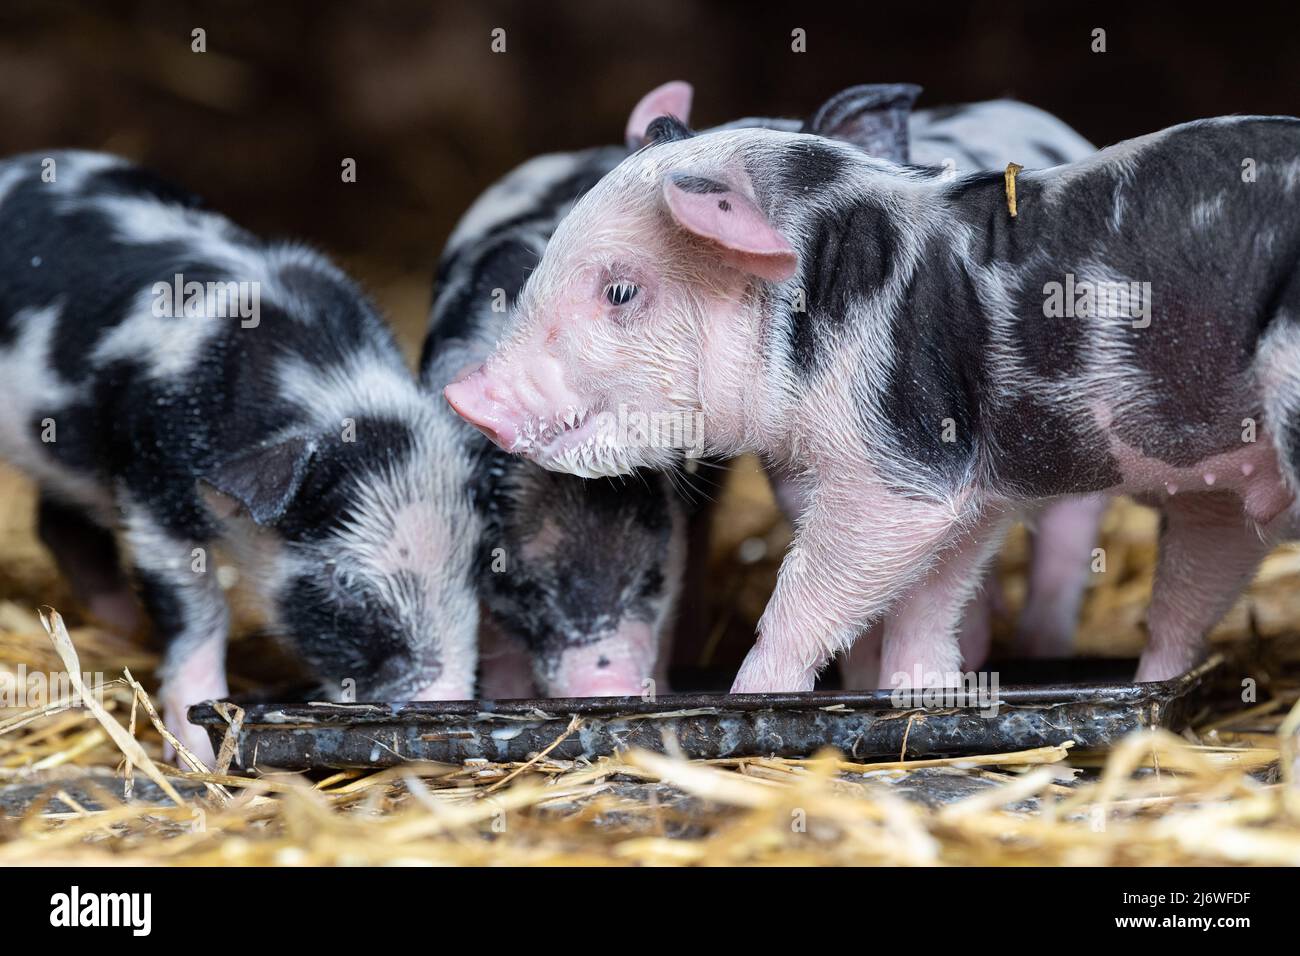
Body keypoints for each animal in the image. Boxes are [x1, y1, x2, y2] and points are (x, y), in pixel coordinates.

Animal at [0, 151, 479, 760]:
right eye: (345, 586)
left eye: (473, 565)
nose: (446, 697)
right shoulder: (153, 491)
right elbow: (198, 616)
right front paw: (199, 755)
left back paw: (122, 629)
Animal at [447, 112, 1300, 692]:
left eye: (621, 291)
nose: (466, 394)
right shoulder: (968, 485)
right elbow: (933, 597)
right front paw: (922, 693)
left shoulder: (896, 469)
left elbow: (812, 594)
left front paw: (752, 697)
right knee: (1190, 592)